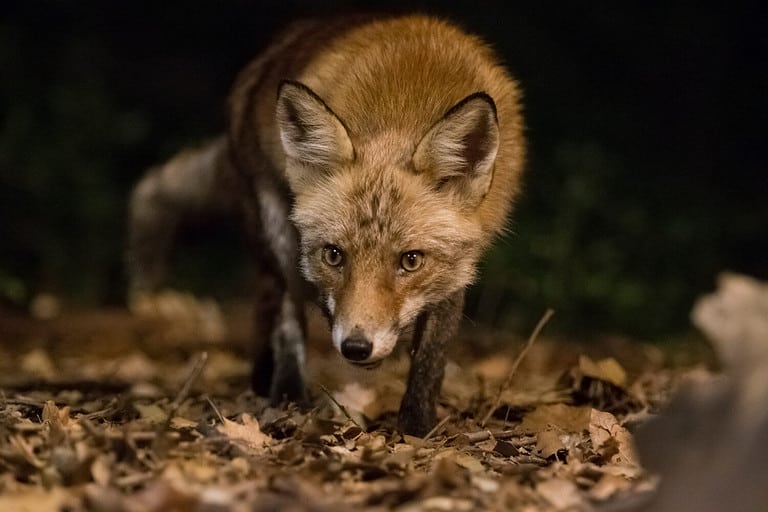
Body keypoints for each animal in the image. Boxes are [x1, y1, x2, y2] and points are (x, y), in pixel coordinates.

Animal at [127, 14, 525, 436]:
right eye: (334, 255)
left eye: (411, 261)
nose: (356, 347)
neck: (405, 108)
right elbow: (293, 317)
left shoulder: (458, 265)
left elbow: (431, 357)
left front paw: (416, 427)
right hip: (275, 225)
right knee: (283, 307)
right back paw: (285, 395)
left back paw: (262, 378)